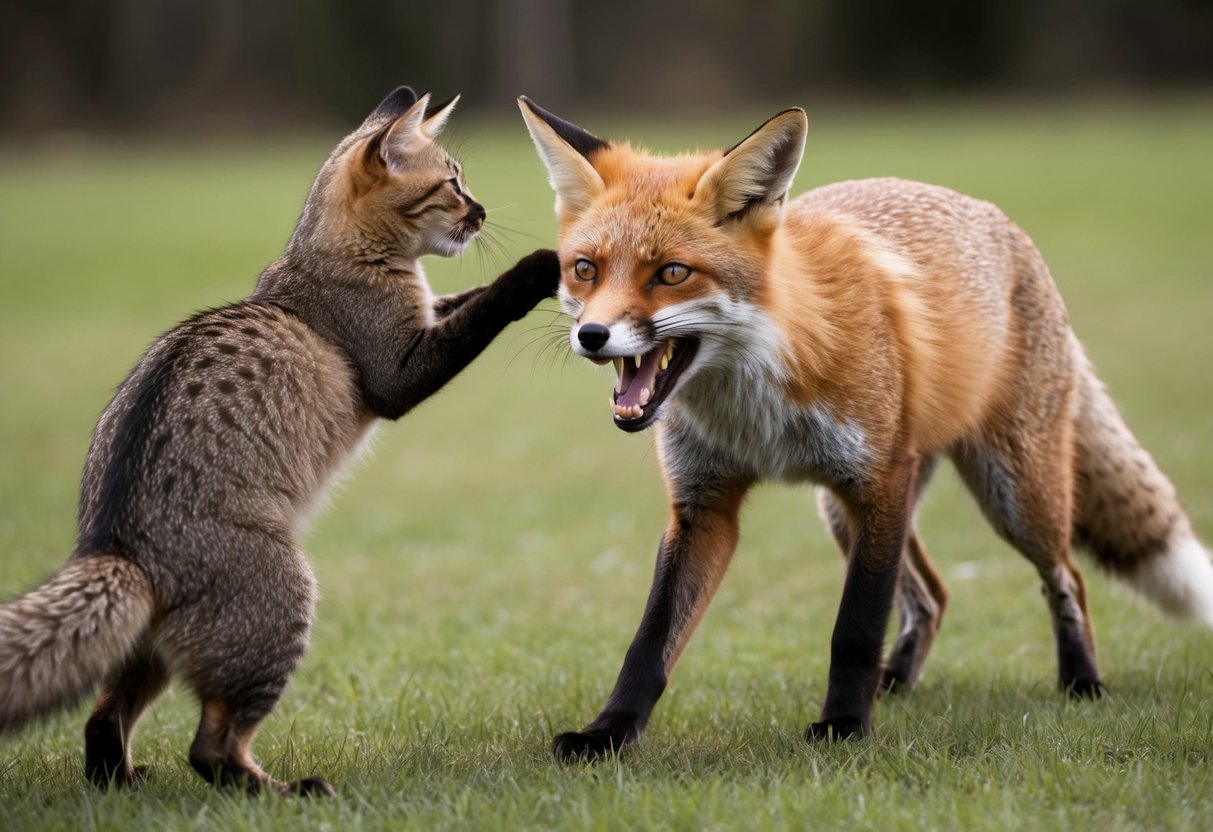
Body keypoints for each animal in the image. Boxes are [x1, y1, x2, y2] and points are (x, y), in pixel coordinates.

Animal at [0, 86, 559, 794]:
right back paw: (285, 792)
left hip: (148, 658)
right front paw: (544, 266)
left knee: (102, 720)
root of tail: (118, 545)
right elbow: (485, 306)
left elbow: (468, 297)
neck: (318, 265)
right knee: (209, 751)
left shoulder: (427, 318)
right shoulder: (398, 373)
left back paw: (122, 782)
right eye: (453, 185)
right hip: (284, 605)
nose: (483, 212)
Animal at [517, 96, 1213, 761]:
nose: (592, 335)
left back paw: (1081, 681)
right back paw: (896, 682)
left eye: (670, 273)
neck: (757, 405)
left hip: (1012, 495)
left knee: (1067, 577)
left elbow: (854, 627)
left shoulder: (877, 481)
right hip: (847, 509)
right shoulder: (704, 506)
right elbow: (650, 642)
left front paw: (845, 727)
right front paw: (609, 733)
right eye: (585, 269)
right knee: (934, 594)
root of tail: (998, 219)